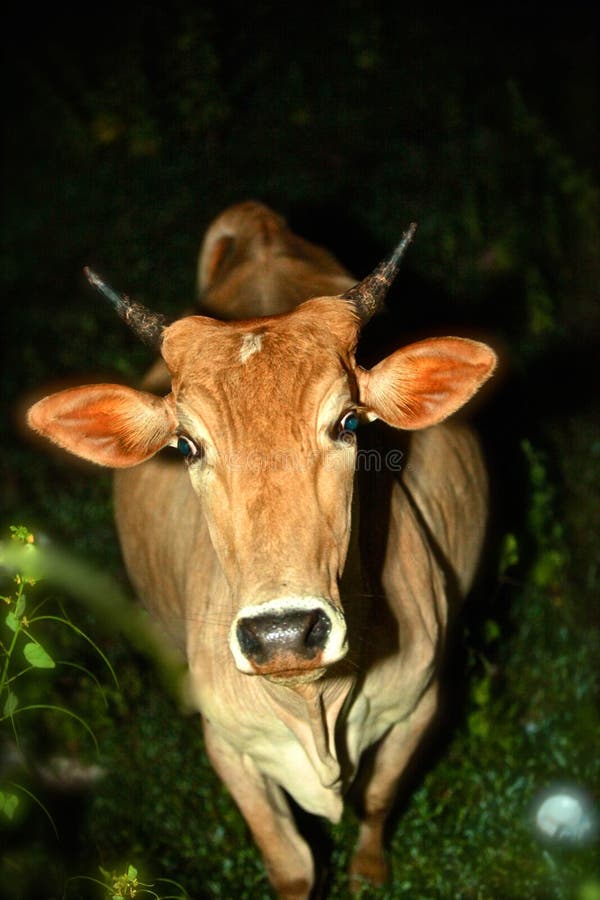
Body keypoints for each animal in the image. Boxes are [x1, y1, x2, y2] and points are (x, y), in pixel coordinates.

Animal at [27, 202, 496, 898]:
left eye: (348, 422)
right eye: (186, 445)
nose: (283, 634)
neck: (313, 703)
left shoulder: (419, 705)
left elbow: (379, 797)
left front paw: (368, 871)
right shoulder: (231, 750)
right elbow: (290, 863)